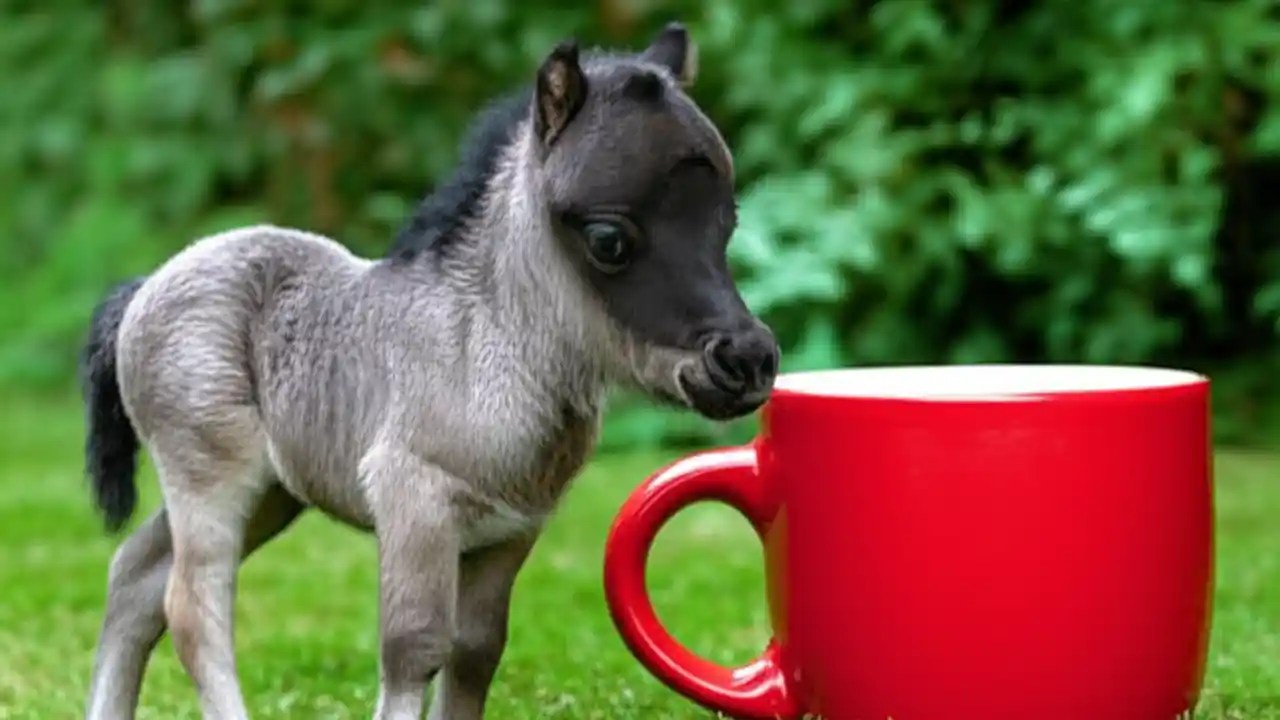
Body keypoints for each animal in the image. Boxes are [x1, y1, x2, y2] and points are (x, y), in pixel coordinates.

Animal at [79, 22, 778, 720]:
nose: (746, 361)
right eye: (609, 238)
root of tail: (142, 289)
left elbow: (475, 650)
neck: (482, 347)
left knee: (134, 578)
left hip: (272, 491)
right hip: (211, 472)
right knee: (191, 608)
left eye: (727, 222)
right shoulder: (414, 500)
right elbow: (413, 647)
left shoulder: (511, 529)